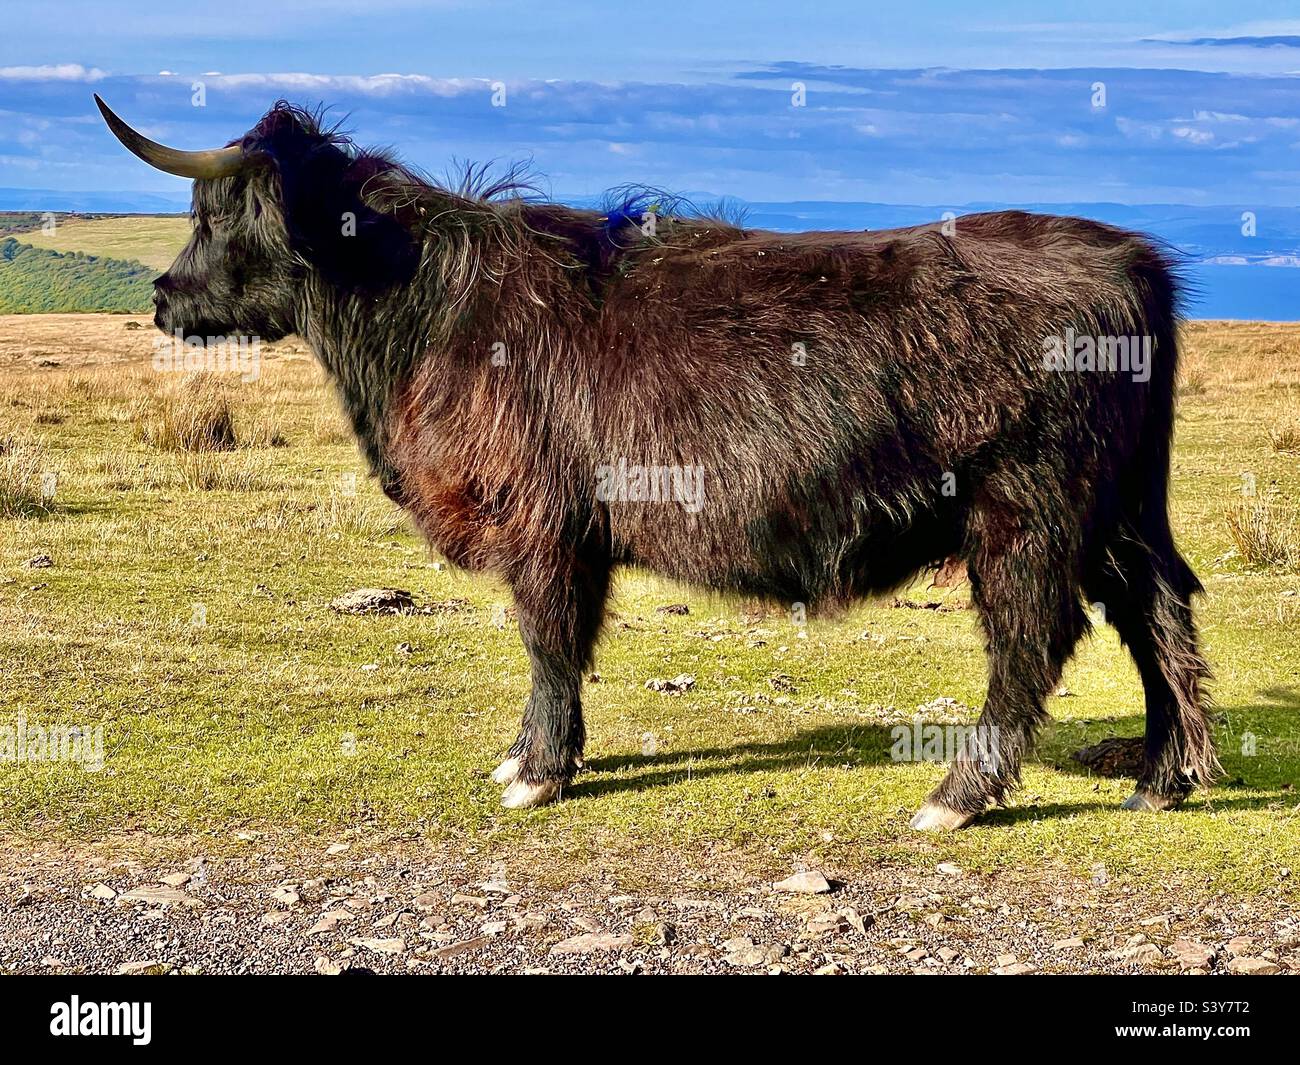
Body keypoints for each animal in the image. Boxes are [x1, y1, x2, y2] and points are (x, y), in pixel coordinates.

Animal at [95, 94, 1216, 829]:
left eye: (211, 219)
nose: (160, 298)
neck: (425, 311)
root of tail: (1123, 257)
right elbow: (559, 645)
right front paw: (529, 757)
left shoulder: (542, 522)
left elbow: (548, 641)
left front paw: (537, 774)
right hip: (1120, 508)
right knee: (1159, 611)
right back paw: (1162, 778)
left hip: (1024, 511)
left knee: (1033, 638)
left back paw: (957, 797)